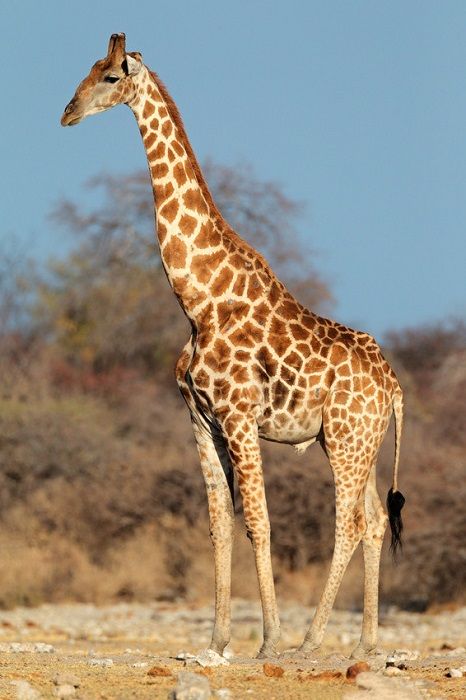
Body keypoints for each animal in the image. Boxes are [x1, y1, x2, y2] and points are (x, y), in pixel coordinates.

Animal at [61, 33, 405, 659]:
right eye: (88, 70)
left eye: (109, 76)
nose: (67, 112)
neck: (199, 301)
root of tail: (394, 386)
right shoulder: (202, 420)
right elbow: (220, 523)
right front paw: (218, 640)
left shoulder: (240, 417)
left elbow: (258, 523)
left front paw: (268, 641)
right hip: (355, 442)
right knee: (370, 519)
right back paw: (365, 644)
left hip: (347, 441)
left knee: (348, 523)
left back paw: (309, 641)